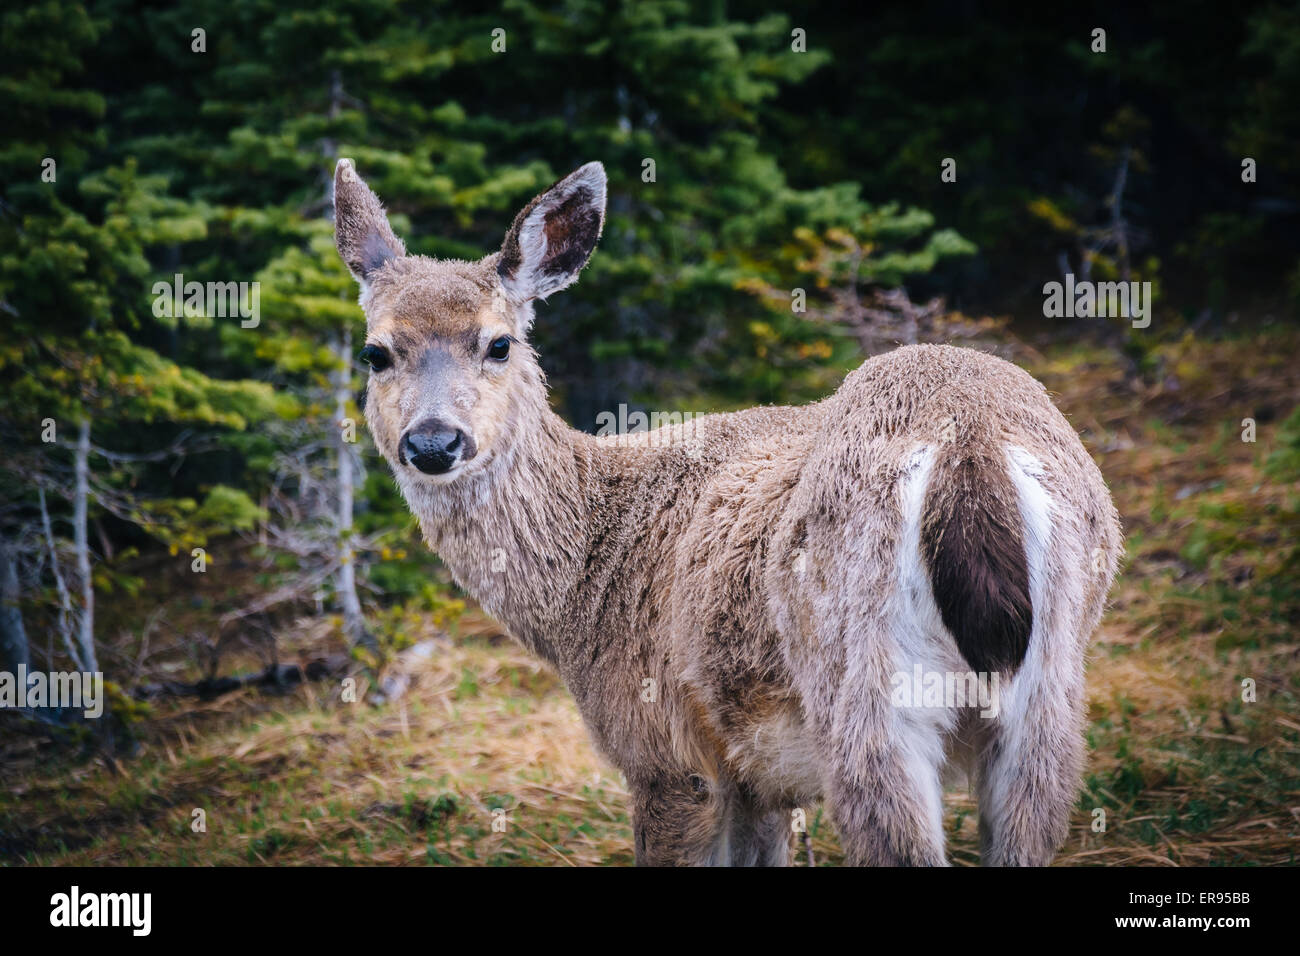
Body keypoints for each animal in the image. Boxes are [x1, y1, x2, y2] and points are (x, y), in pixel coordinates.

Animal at [332, 158, 1123, 866]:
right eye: (375, 352)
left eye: (498, 343)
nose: (433, 442)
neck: (583, 581)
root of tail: (970, 440)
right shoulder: (757, 779)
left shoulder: (667, 752)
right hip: (1051, 689)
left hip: (865, 686)